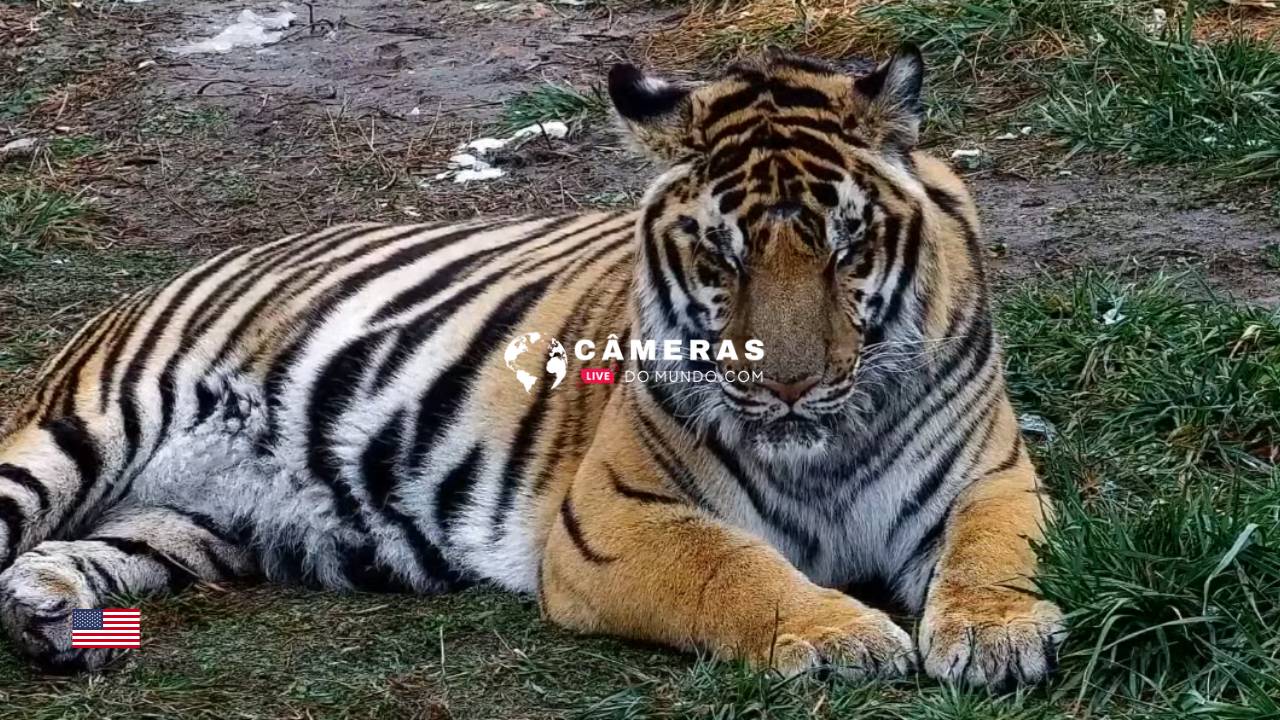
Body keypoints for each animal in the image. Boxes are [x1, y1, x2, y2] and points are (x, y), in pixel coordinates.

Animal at [0, 45, 1063, 687]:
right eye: (723, 259)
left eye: (847, 249)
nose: (790, 385)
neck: (823, 449)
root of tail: (194, 264)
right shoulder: (617, 521)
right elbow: (739, 572)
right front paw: (845, 638)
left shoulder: (990, 475)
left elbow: (996, 550)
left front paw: (998, 633)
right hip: (82, 426)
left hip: (202, 523)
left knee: (92, 546)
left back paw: (49, 611)